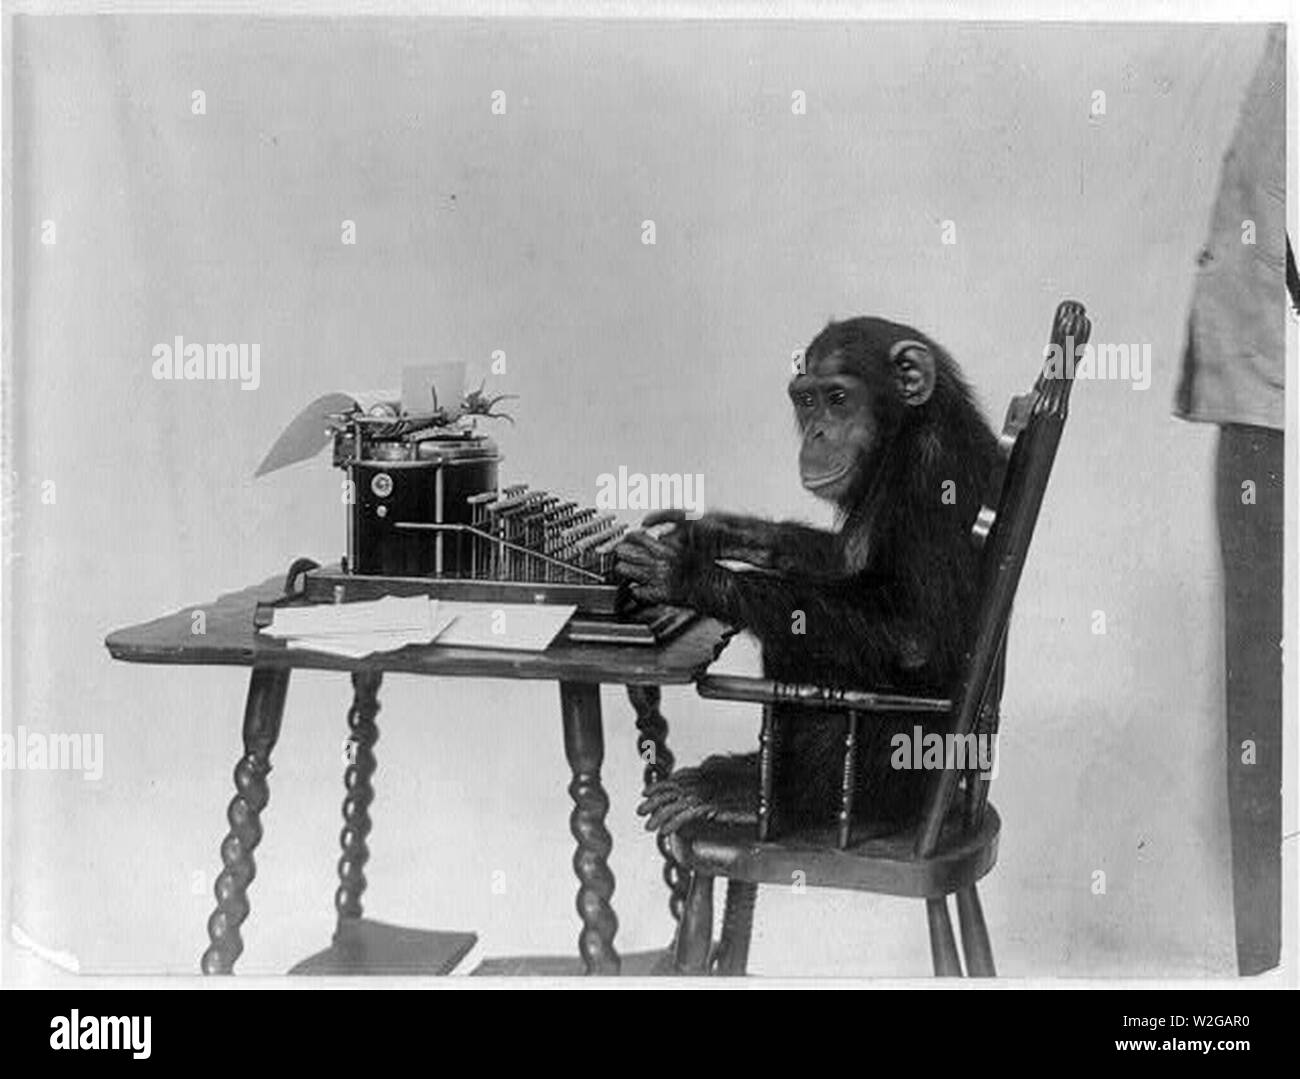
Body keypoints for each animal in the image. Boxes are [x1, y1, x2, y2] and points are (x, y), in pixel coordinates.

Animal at [615, 317, 1001, 839]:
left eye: (838, 398)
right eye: (807, 400)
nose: (817, 433)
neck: (903, 435)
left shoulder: (935, 477)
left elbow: (916, 635)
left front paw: (687, 574)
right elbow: (840, 561)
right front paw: (704, 532)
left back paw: (753, 793)